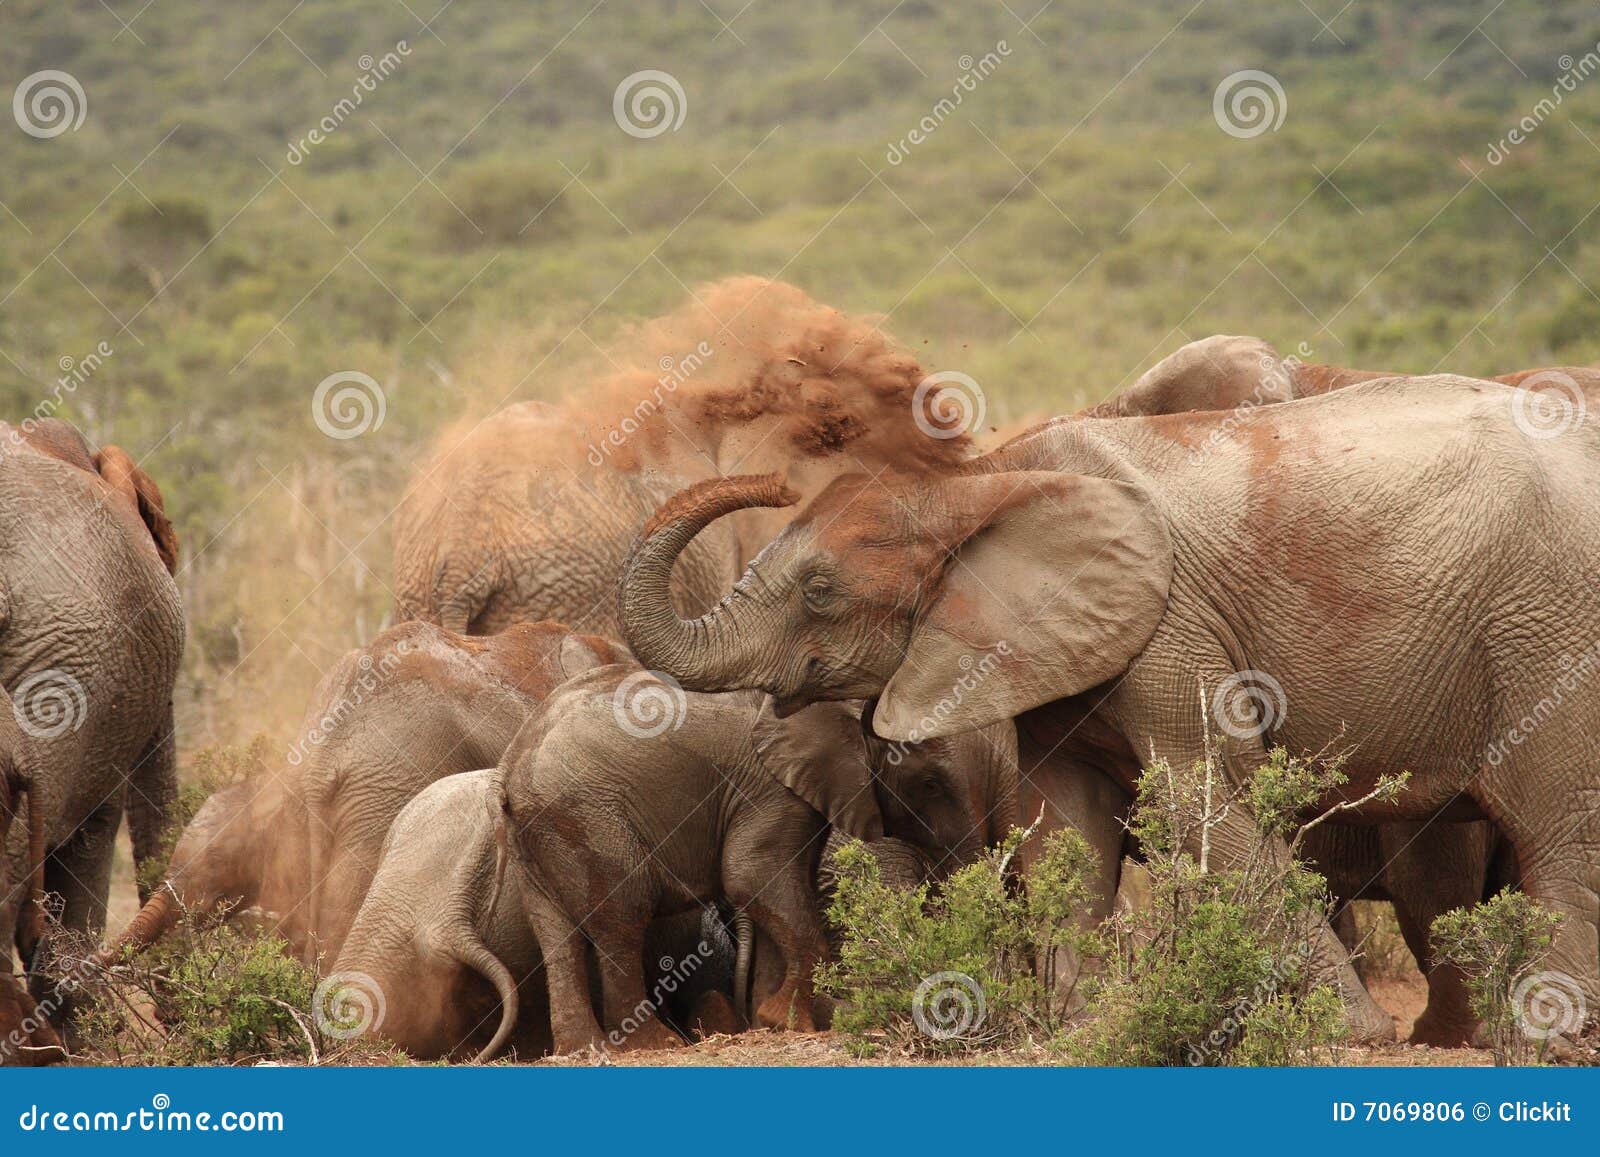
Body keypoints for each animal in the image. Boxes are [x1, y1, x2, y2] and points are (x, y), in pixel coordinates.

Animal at [493, 665, 1018, 1055]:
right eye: (929, 783)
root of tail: (512, 770)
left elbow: (777, 887)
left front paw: (776, 1021)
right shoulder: (768, 787)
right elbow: (751, 877)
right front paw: (786, 1019)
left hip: (538, 838)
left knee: (557, 936)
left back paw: (583, 1050)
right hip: (589, 818)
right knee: (621, 920)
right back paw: (650, 1045)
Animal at [620, 374, 1600, 1044]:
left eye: (819, 591)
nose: (777, 482)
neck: (983, 482)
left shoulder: (1169, 627)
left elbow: (1200, 802)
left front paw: (1348, 1035)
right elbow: (1064, 819)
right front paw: (1075, 1026)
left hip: (1550, 629)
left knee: (1558, 826)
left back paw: (1546, 1037)